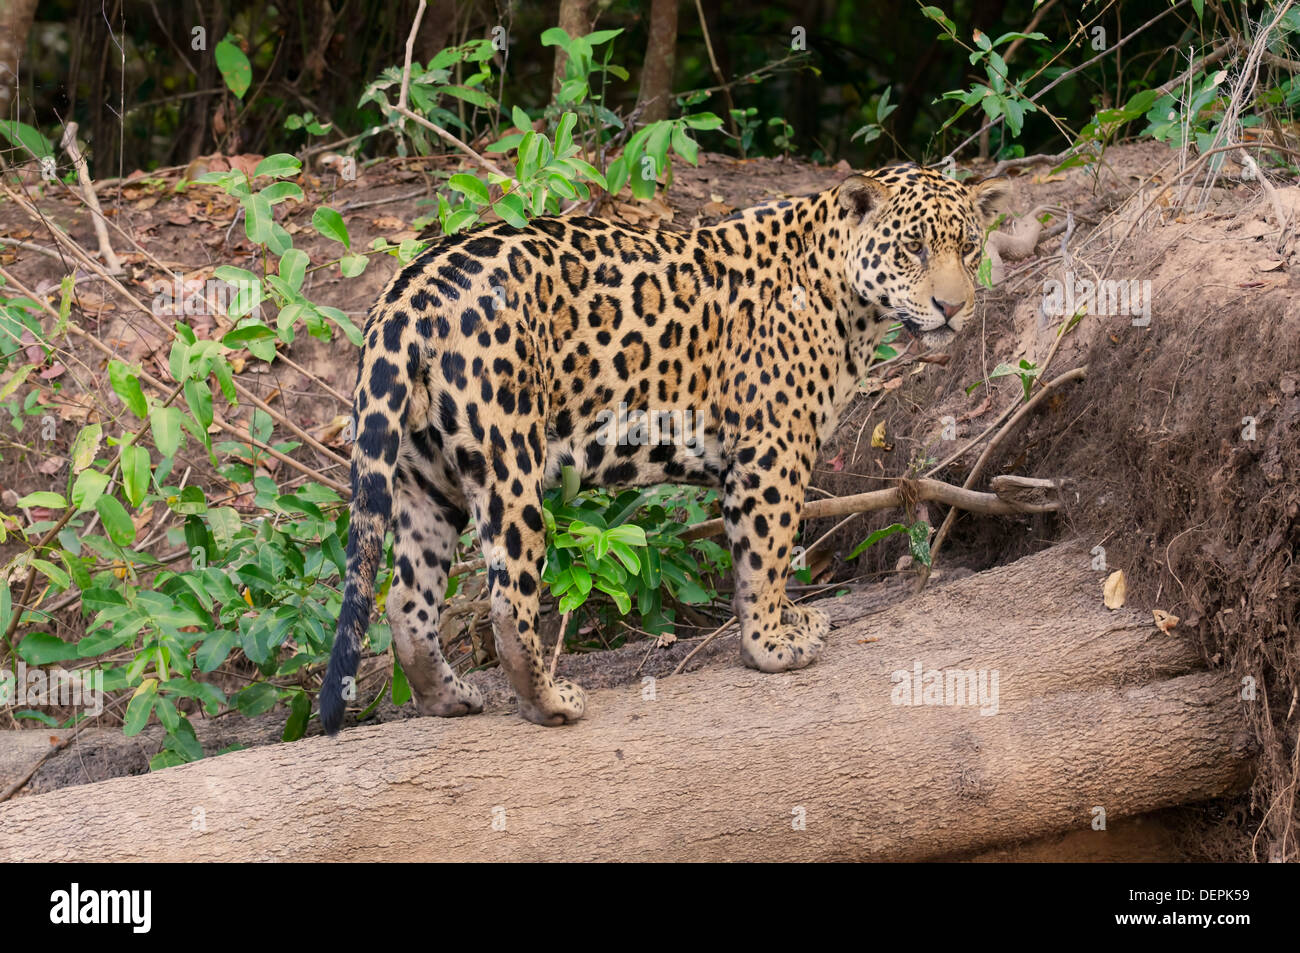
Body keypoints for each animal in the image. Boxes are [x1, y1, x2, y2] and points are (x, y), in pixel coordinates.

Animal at [319, 162, 1009, 733]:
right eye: (913, 247)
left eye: (969, 247)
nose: (953, 307)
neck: (846, 299)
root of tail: (408, 294)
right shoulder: (773, 449)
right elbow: (766, 555)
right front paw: (771, 644)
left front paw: (789, 623)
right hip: (508, 458)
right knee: (509, 602)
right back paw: (552, 704)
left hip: (422, 477)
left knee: (406, 604)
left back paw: (450, 699)